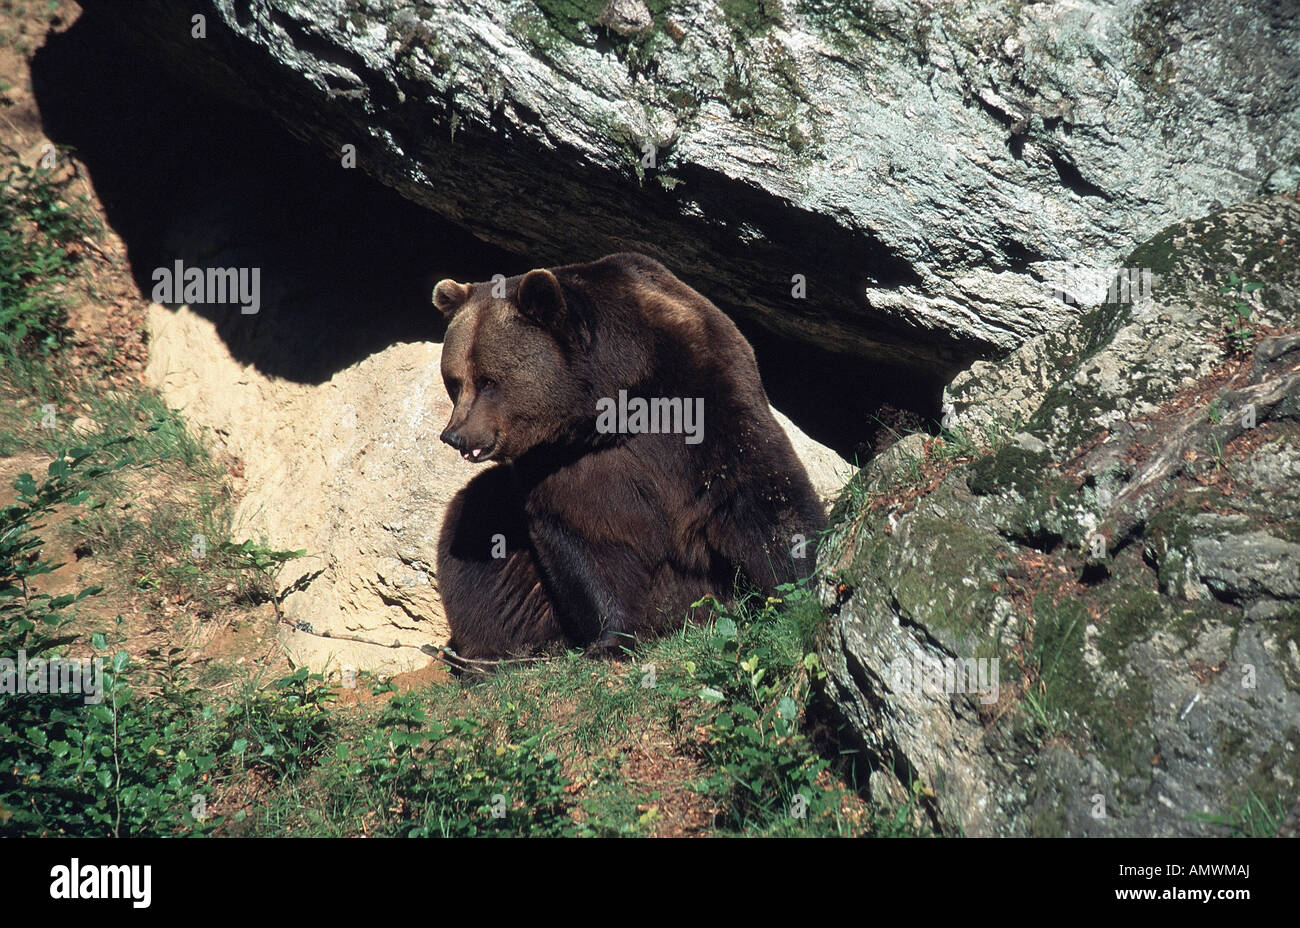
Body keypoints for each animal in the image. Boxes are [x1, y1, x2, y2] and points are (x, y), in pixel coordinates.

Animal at [432, 252, 825, 661]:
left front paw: (795, 586)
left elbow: (760, 492)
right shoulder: (558, 463)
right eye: (455, 380)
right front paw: (611, 639)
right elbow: (585, 538)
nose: (455, 435)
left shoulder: (704, 390)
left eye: (489, 381)